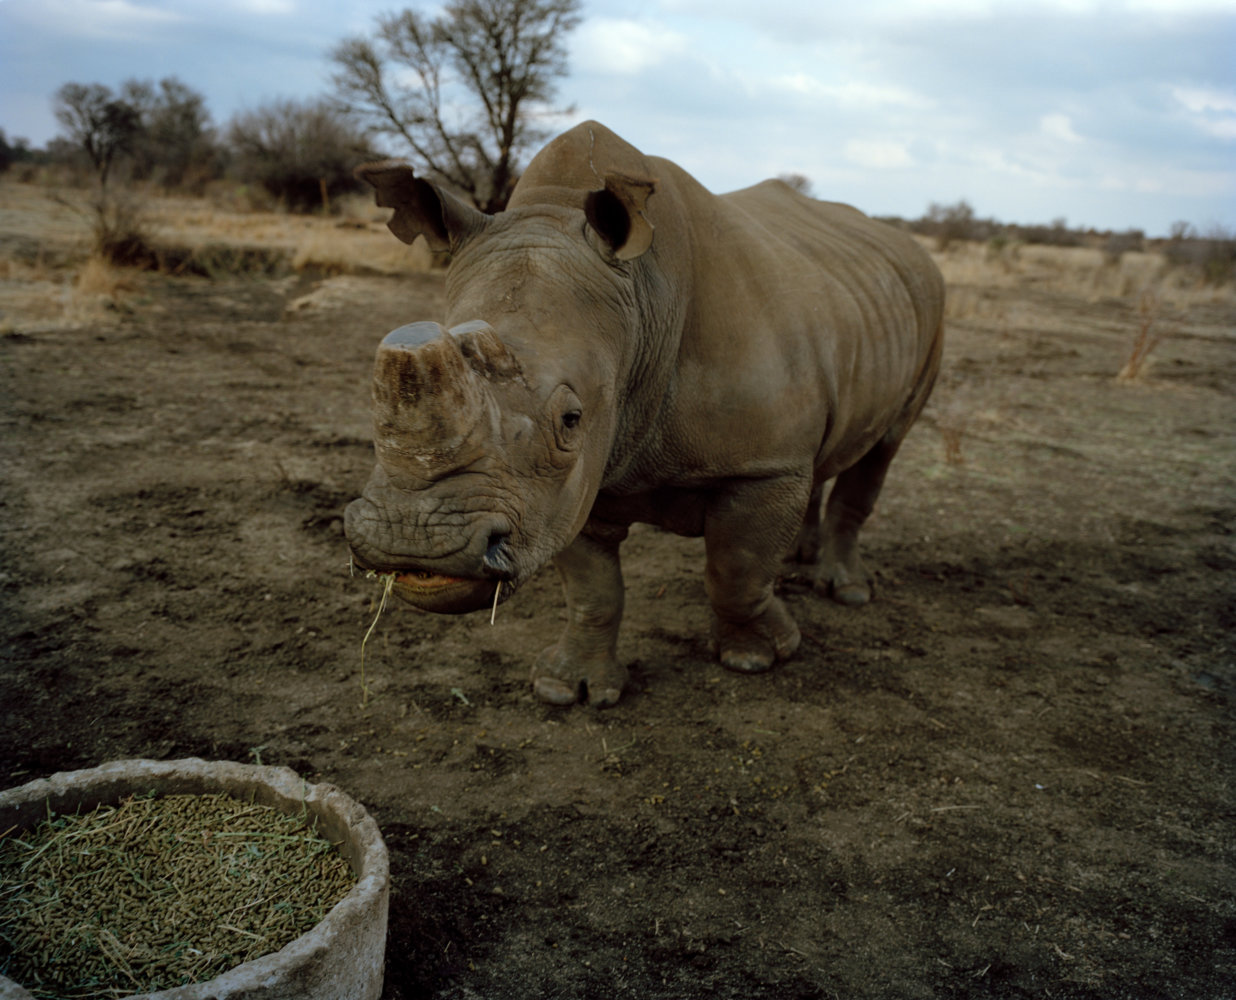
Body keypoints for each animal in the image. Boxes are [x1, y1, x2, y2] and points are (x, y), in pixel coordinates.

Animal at [345, 121, 944, 707]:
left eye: (570, 419)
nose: (413, 544)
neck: (641, 304)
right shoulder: (573, 482)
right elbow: (593, 588)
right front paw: (569, 689)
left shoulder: (761, 464)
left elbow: (736, 568)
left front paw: (759, 657)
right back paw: (798, 554)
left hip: (930, 304)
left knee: (886, 445)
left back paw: (847, 592)